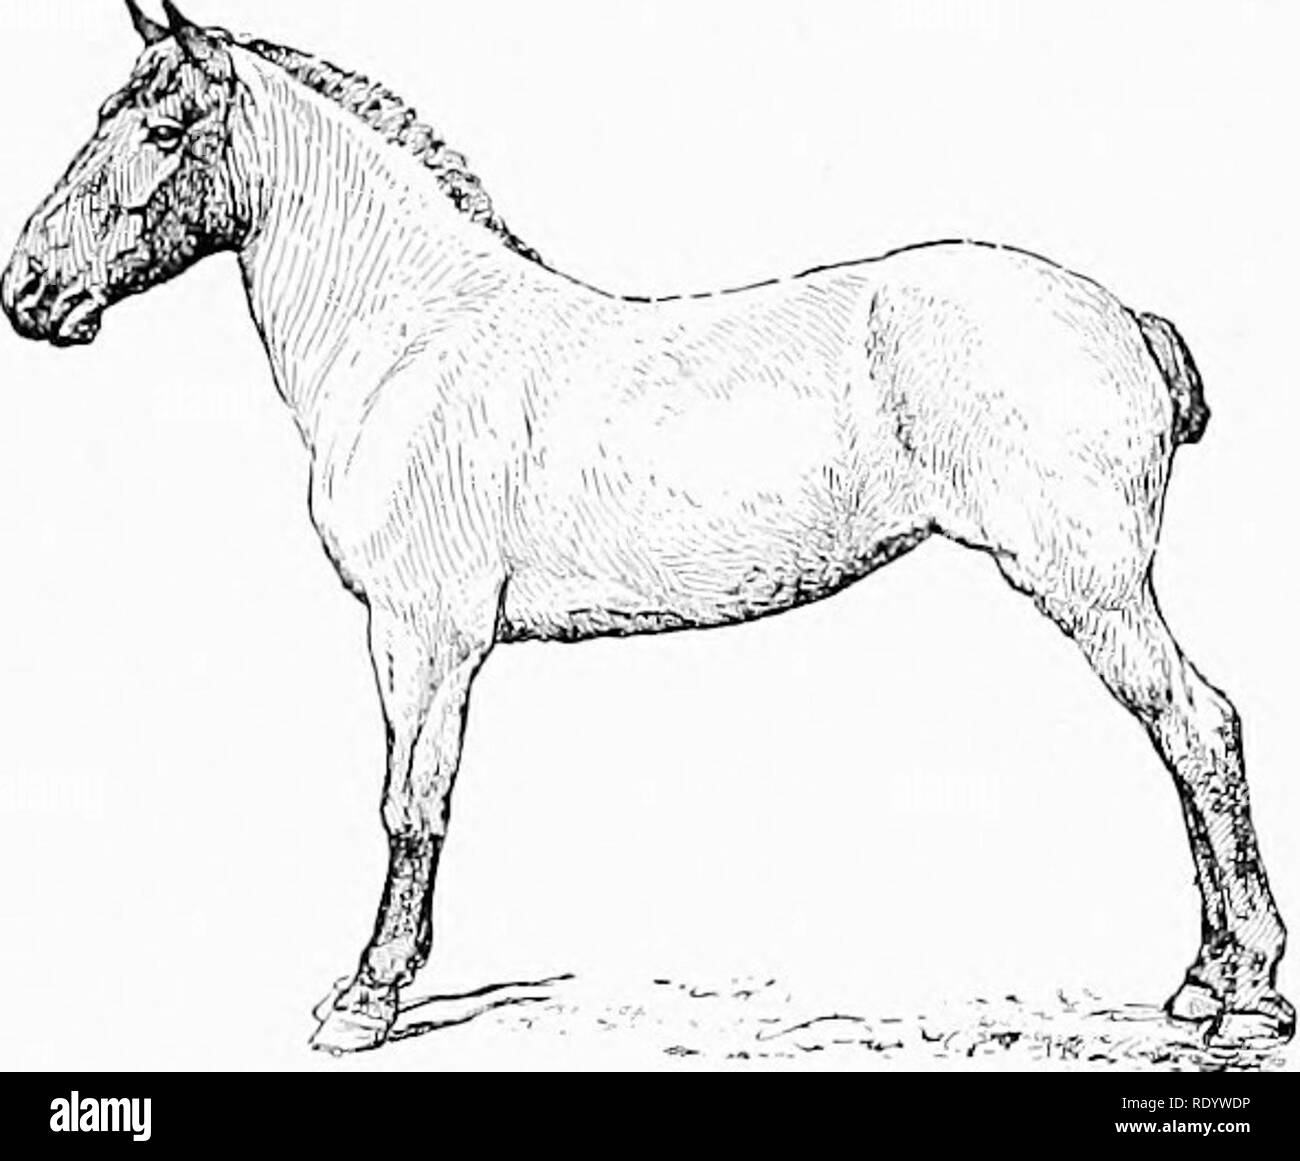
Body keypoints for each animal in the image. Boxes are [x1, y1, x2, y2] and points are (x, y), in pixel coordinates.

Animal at [1, 1, 1291, 1055]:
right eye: (107, 114)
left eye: (167, 129)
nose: (28, 292)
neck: (412, 330)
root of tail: (1118, 315)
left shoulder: (423, 636)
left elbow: (410, 803)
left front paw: (363, 999)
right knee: (1183, 735)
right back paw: (1202, 981)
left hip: (1087, 585)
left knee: (1198, 727)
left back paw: (1246, 997)